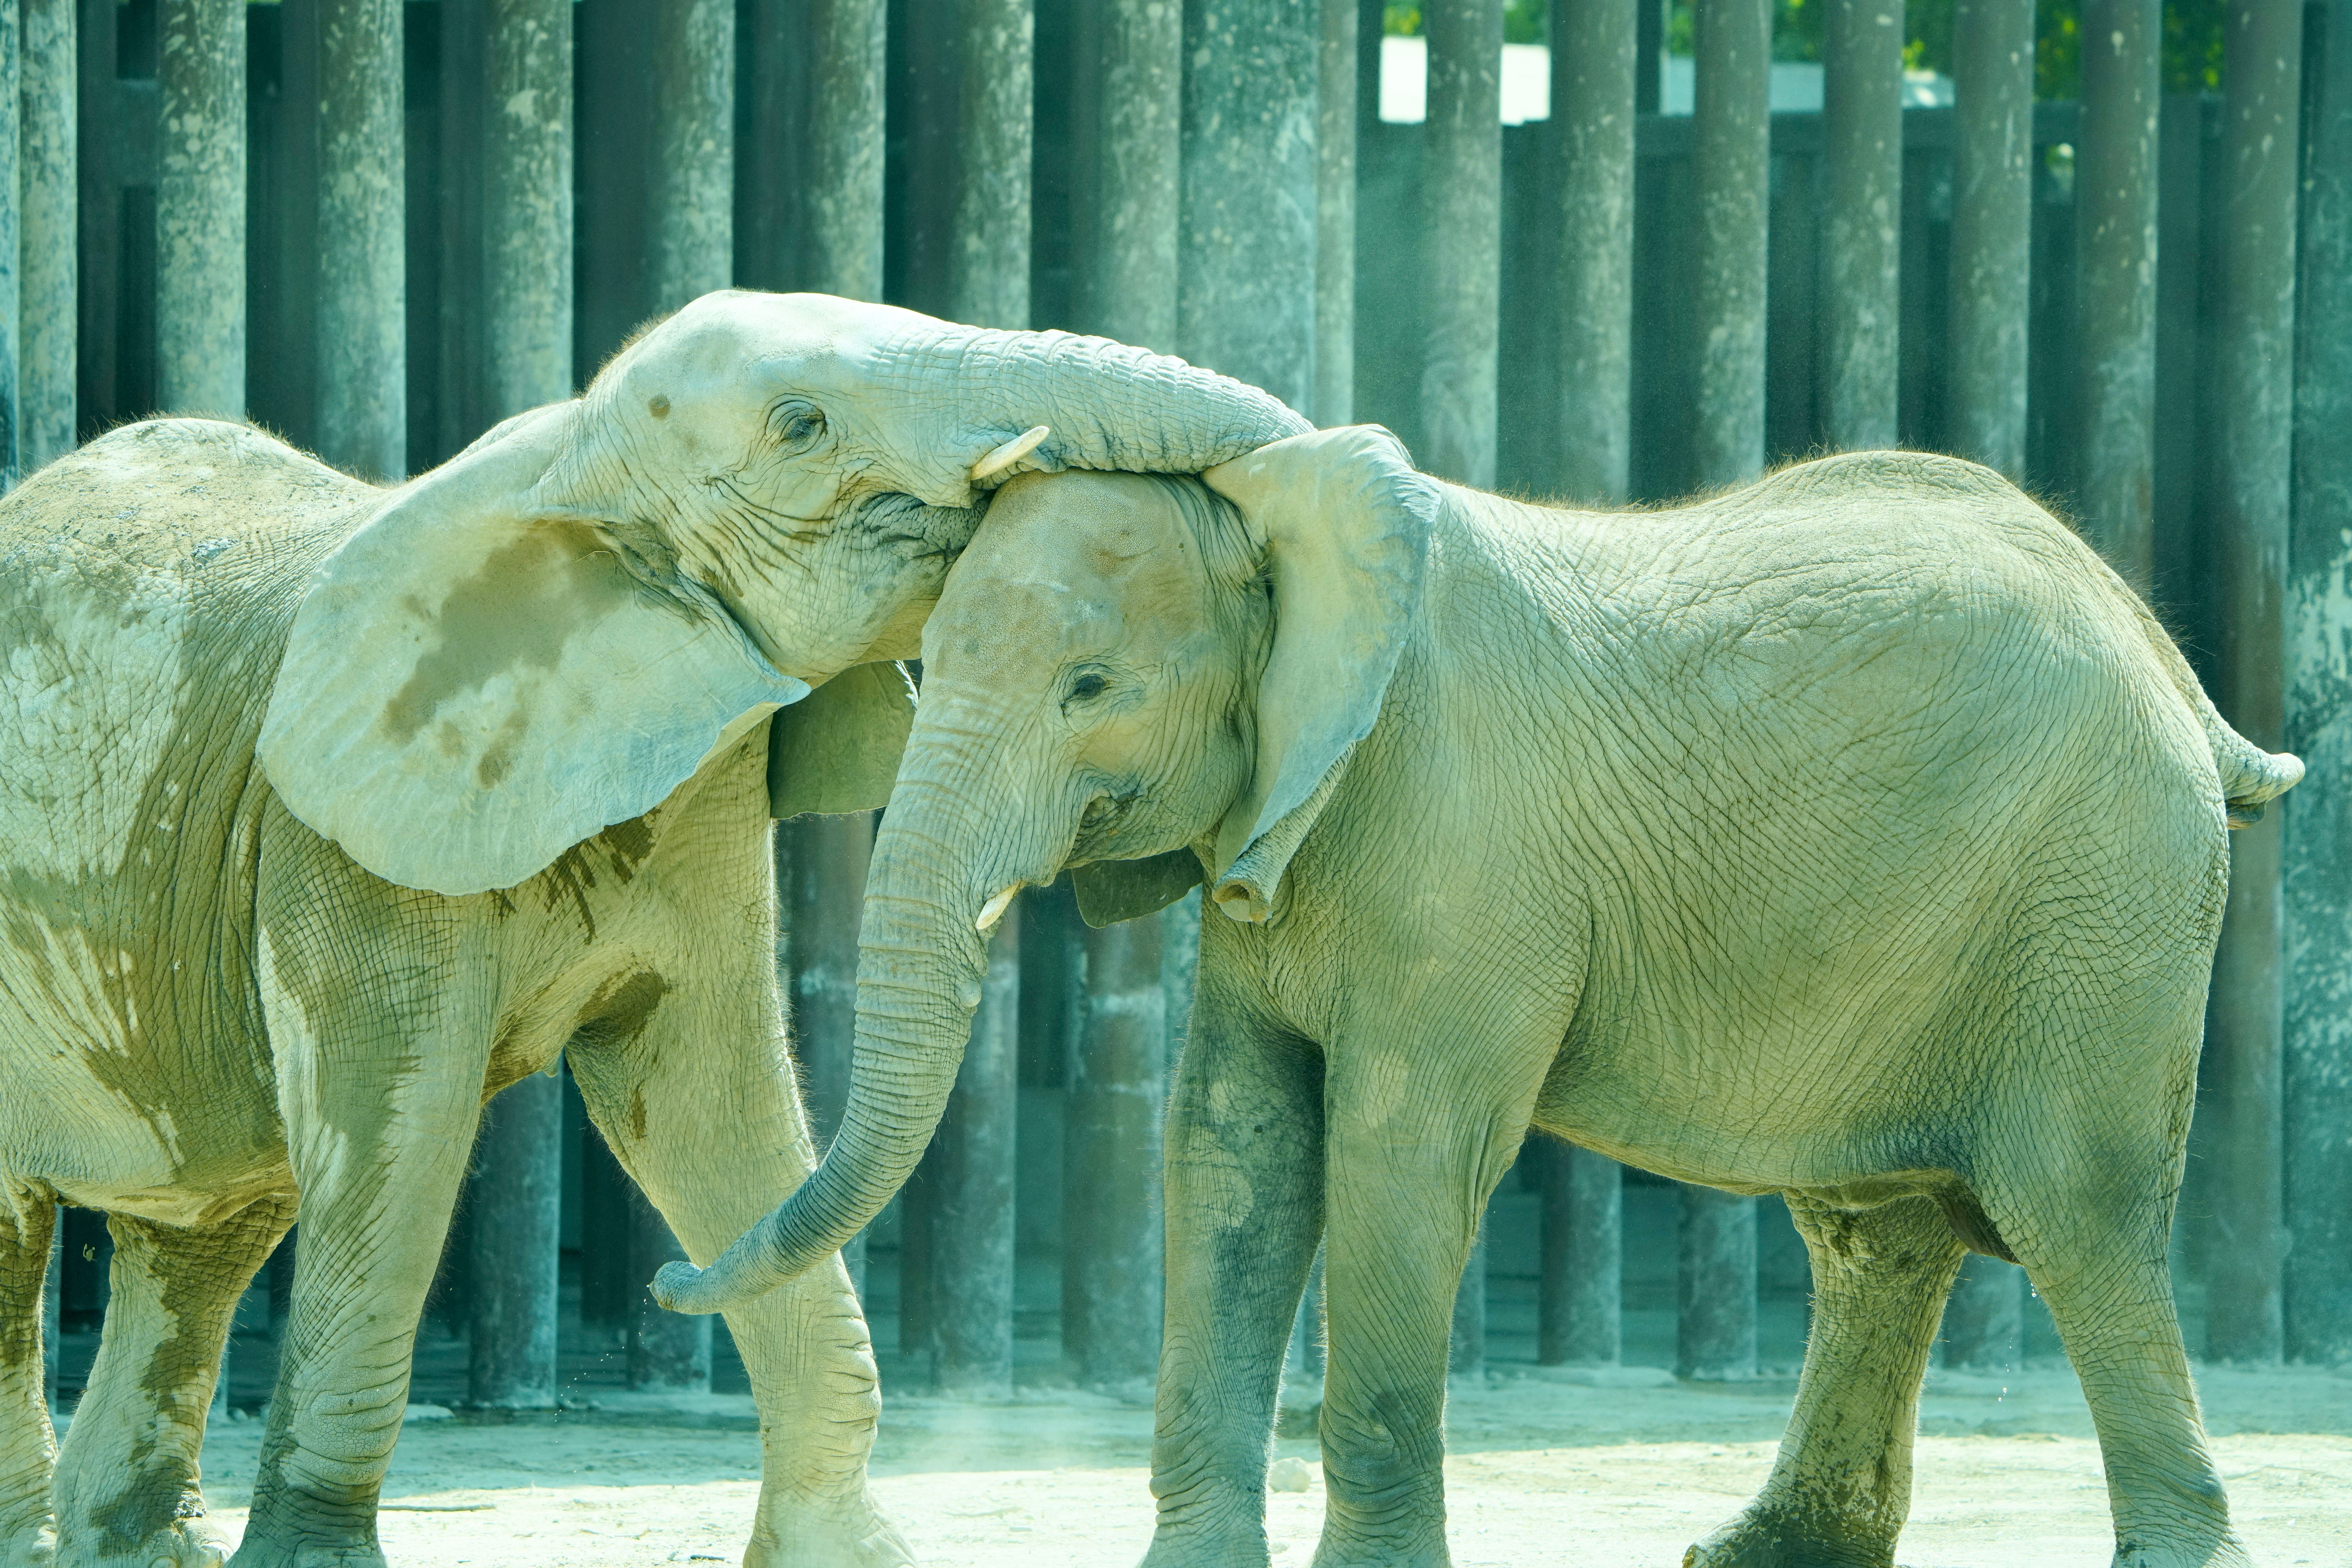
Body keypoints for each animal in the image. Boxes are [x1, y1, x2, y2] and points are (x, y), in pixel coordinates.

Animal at [0, 289, 1304, 1568]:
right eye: (800, 425)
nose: (670, 1286)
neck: (571, 468)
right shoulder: (339, 832)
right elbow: (398, 1133)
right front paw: (312, 1560)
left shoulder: (702, 778)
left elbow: (702, 1099)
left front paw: (842, 1554)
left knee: (215, 1220)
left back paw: (136, 1546)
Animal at [657, 426, 2304, 1568]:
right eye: (925, 670)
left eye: (1089, 693)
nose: (676, 1282)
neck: (1282, 519)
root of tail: (2171, 664)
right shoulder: (1278, 835)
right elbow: (1236, 1152)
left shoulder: (1457, 845)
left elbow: (1399, 1156)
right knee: (1874, 1235)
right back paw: (1759, 1555)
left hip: (2100, 906)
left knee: (2082, 1221)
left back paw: (2169, 1550)